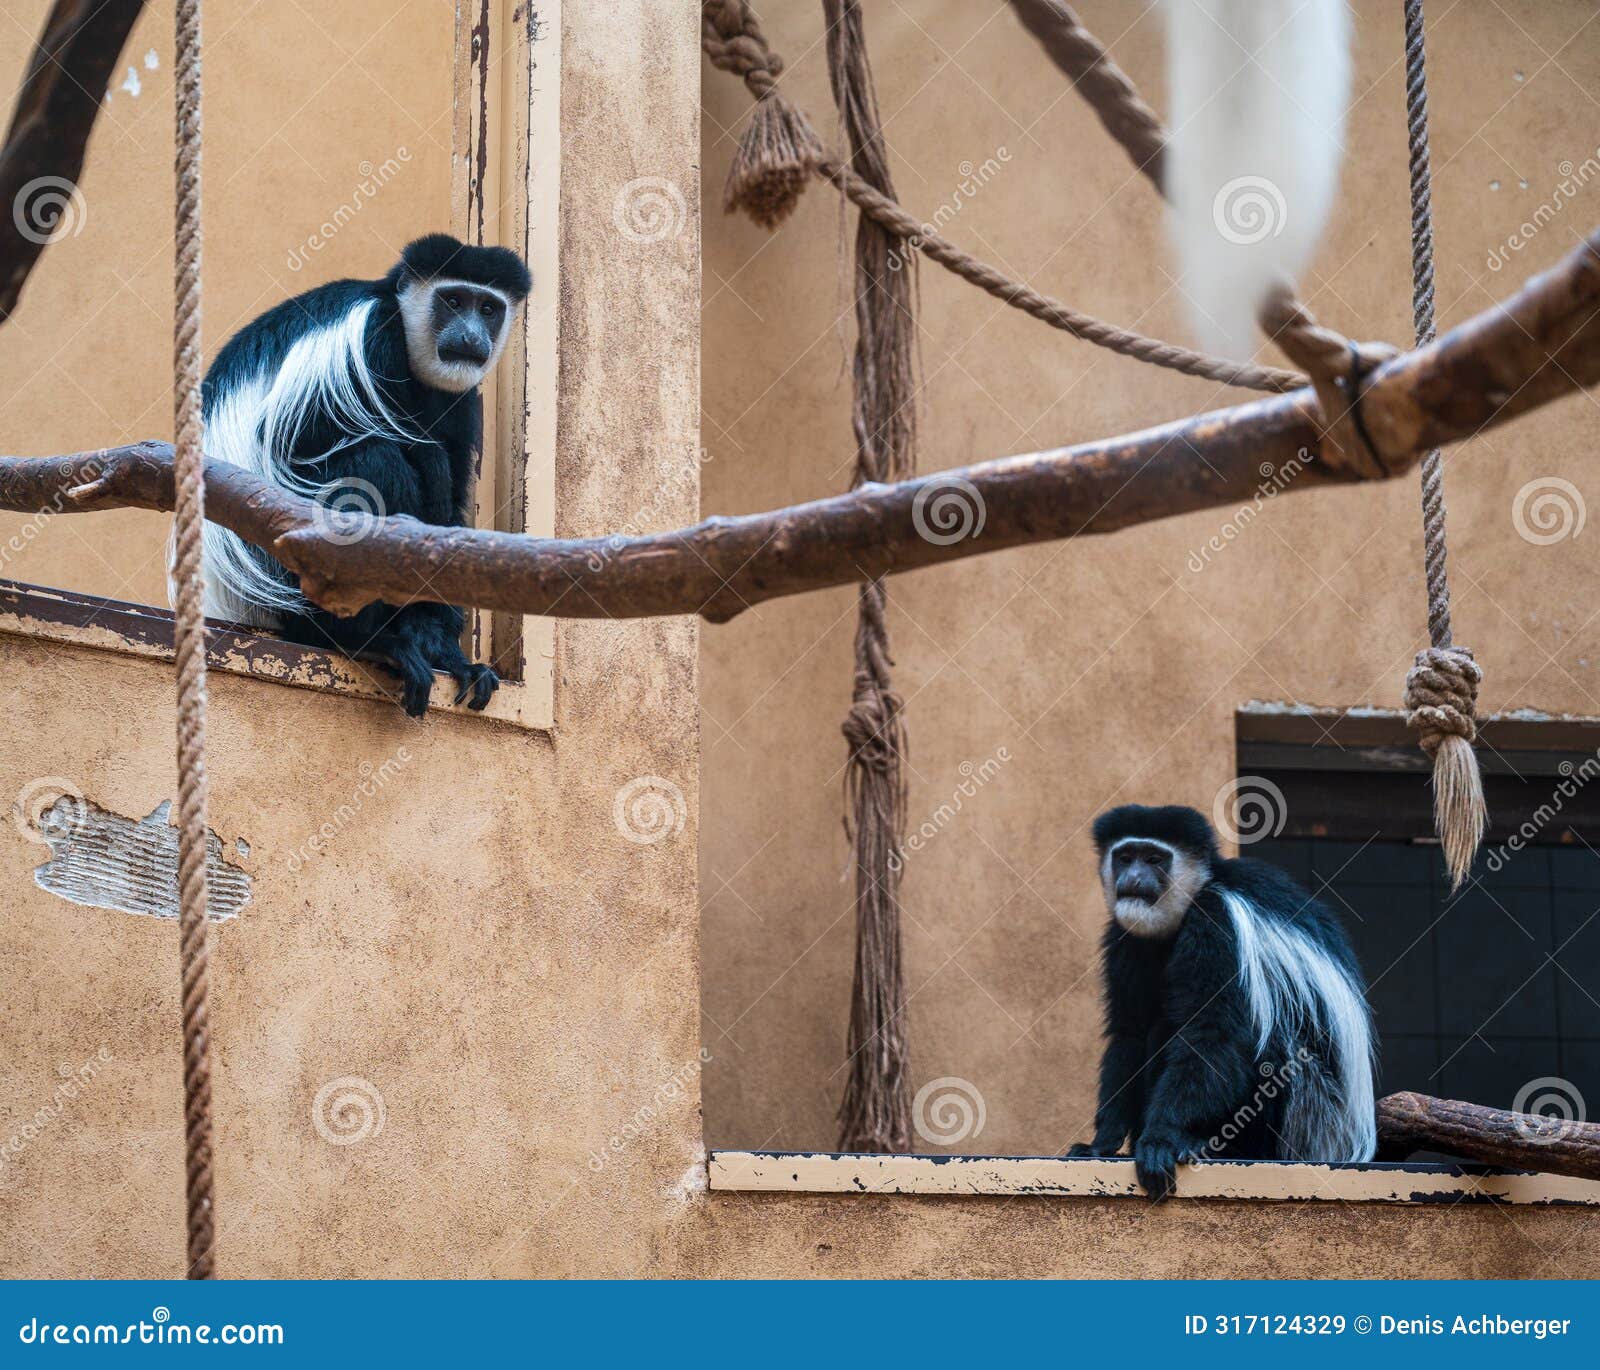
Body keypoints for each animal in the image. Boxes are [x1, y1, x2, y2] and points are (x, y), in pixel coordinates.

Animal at [180, 233, 531, 717]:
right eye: (453, 300)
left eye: (488, 308)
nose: (470, 335)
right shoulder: (366, 339)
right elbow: (297, 443)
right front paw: (426, 457)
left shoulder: (460, 401)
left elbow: (450, 507)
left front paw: (447, 651)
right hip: (278, 566)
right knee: (371, 464)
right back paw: (363, 640)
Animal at [1069, 804, 1376, 1199]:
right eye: (1124, 857)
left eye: (1154, 859)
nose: (1133, 878)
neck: (1195, 896)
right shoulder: (1126, 940)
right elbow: (1130, 1032)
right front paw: (1101, 1144)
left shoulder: (1218, 924)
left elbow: (1213, 1033)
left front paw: (1160, 1139)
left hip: (1307, 1118)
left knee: (1270, 1041)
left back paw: (1205, 1144)